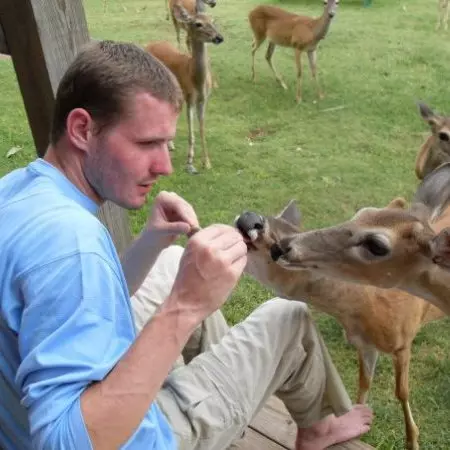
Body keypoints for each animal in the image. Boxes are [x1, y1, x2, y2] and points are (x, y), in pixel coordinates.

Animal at [146, 2, 223, 173]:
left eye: (213, 20)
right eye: (198, 24)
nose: (219, 37)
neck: (195, 79)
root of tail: (149, 44)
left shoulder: (203, 100)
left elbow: (201, 128)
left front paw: (207, 162)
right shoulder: (189, 97)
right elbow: (190, 130)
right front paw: (189, 160)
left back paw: (170, 144)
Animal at [236, 201, 446, 450]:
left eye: (274, 240)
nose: (248, 218)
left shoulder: (403, 340)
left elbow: (402, 392)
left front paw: (412, 440)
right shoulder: (364, 344)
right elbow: (364, 382)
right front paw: (360, 421)